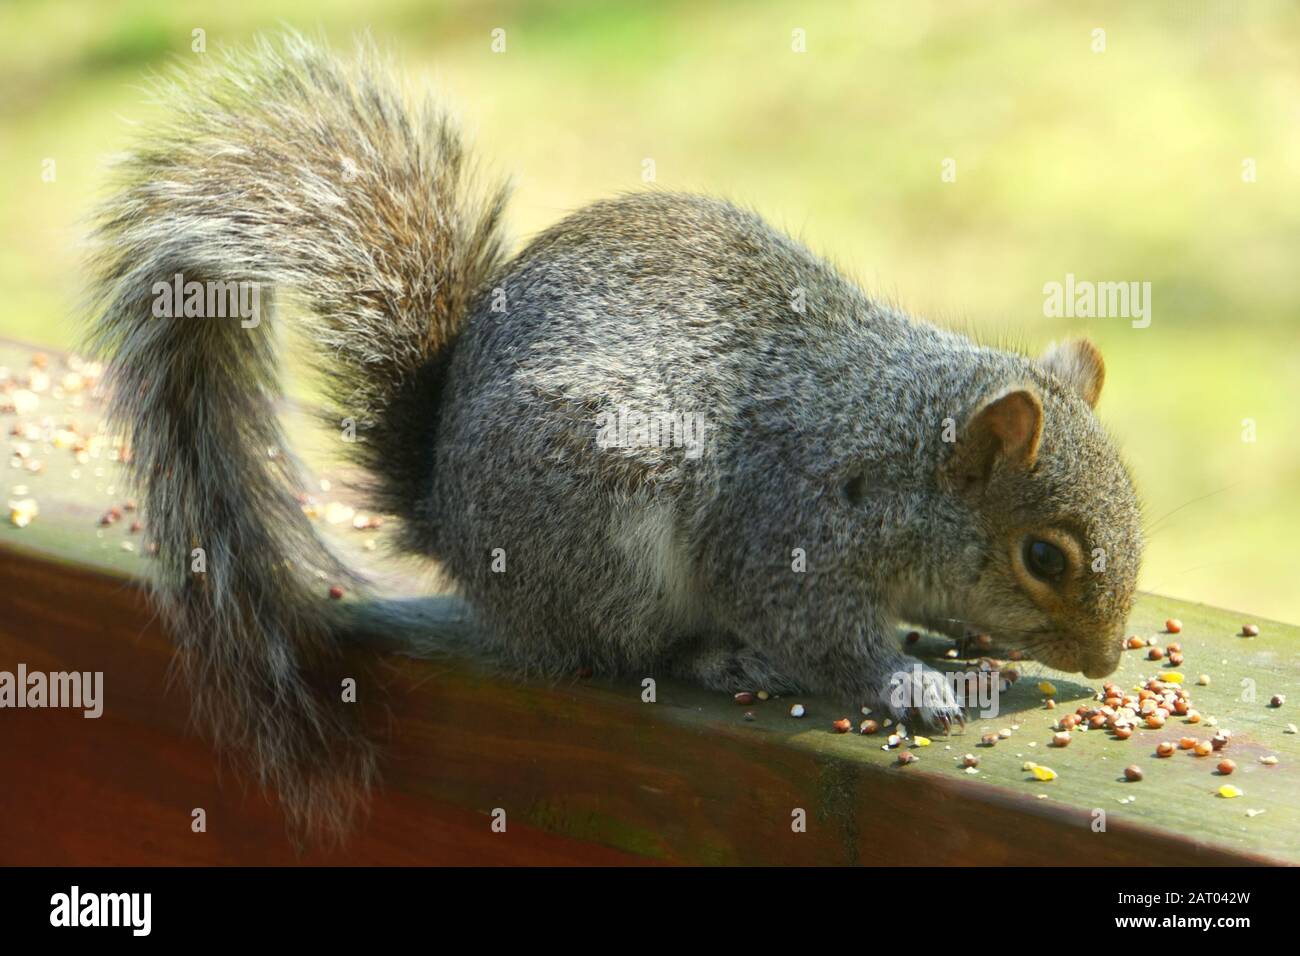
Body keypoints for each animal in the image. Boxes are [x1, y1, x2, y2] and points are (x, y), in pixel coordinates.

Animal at [84, 35, 1143, 838]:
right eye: (1043, 557)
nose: (1103, 665)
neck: (897, 445)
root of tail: (452, 525)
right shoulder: (791, 523)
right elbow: (819, 629)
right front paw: (909, 681)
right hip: (607, 521)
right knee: (626, 648)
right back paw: (718, 657)